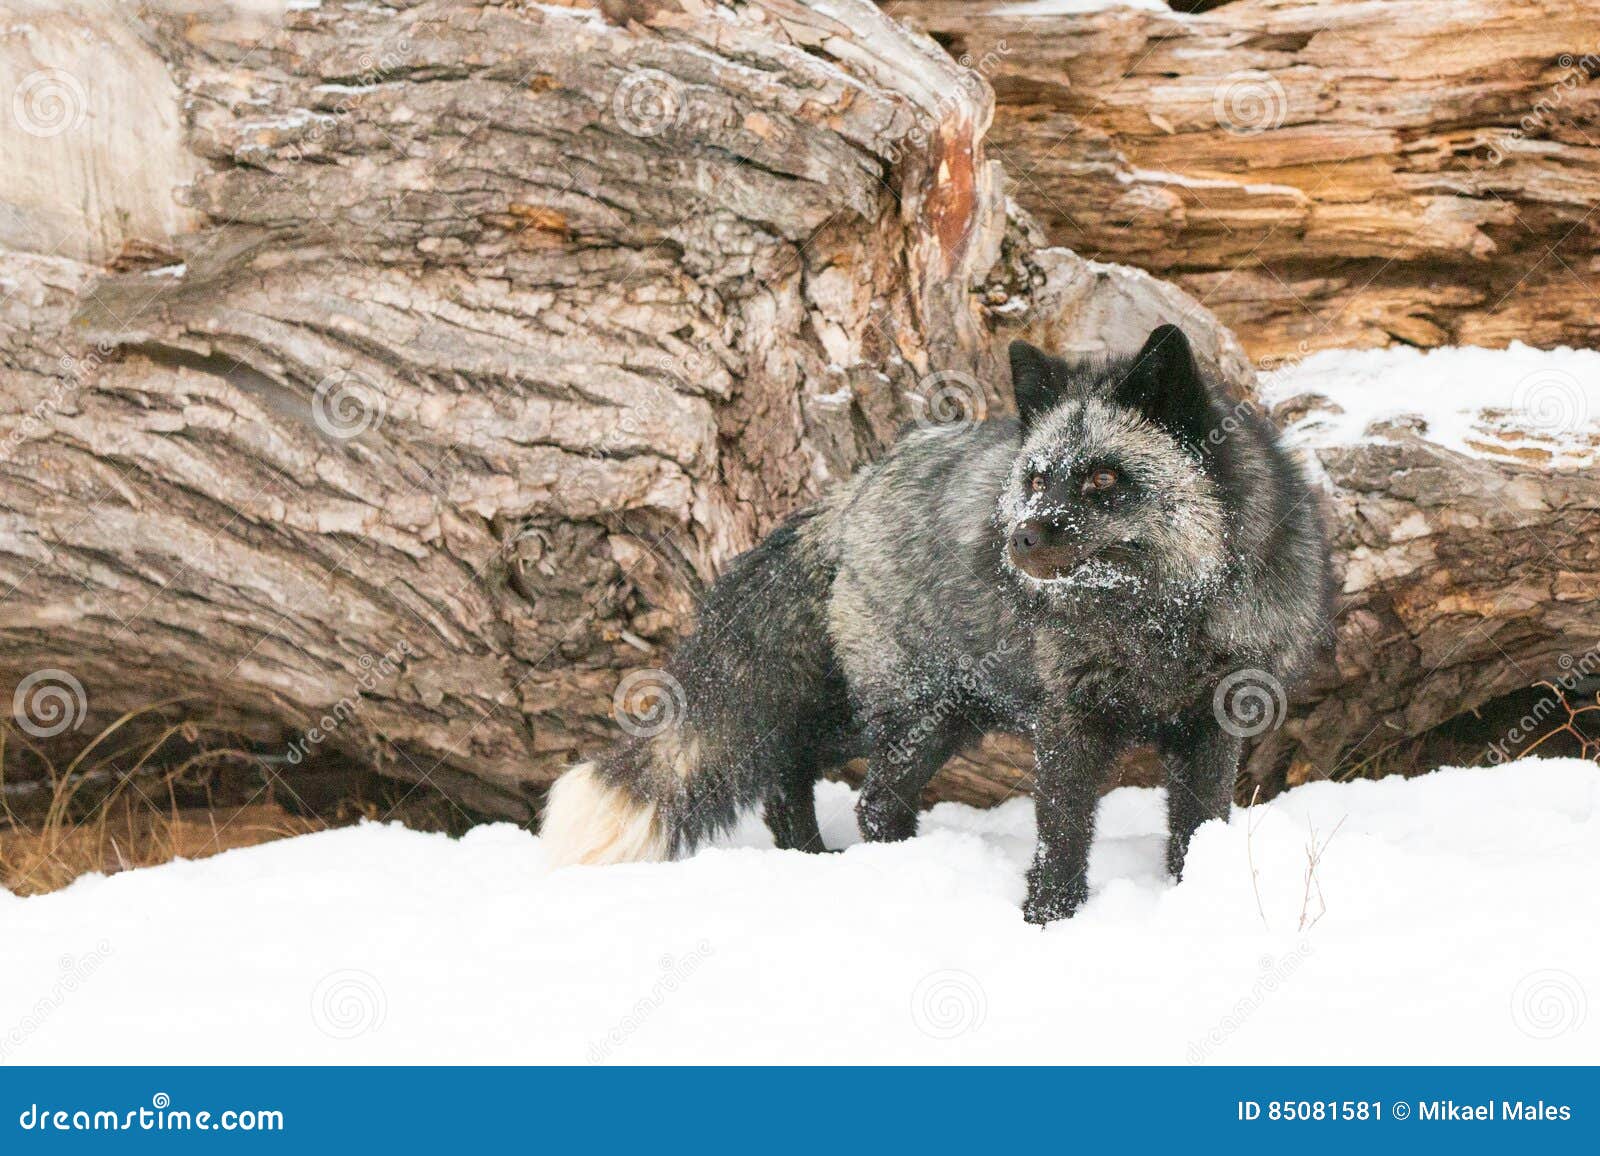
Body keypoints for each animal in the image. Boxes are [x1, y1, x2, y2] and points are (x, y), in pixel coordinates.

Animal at [540, 324, 1332, 923]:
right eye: (1037, 478)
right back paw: (887, 867)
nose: (1019, 537)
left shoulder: (1213, 725)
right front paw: (1049, 921)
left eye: (1105, 480)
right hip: (917, 713)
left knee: (786, 760)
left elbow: (1196, 829)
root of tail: (852, 493)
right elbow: (1061, 835)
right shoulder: (1067, 722)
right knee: (868, 800)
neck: (1158, 627)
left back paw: (810, 855)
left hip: (911, 714)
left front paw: (1189, 899)